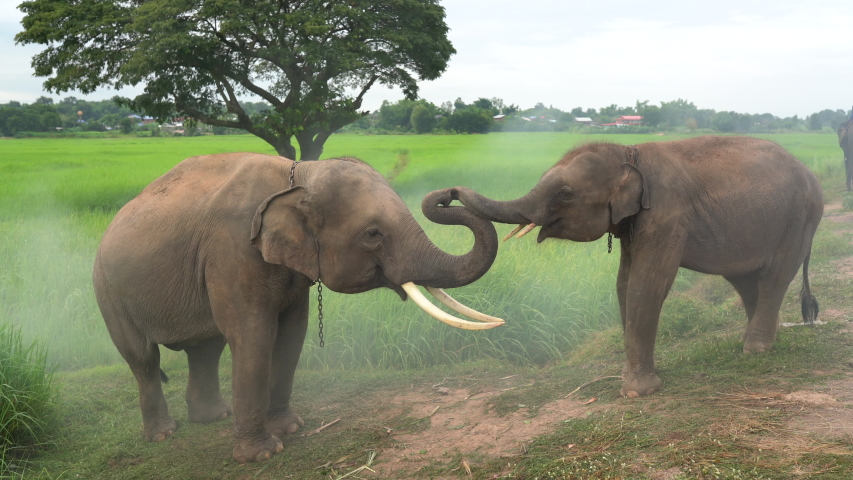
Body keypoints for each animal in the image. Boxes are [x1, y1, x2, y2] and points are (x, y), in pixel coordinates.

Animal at [93, 153, 504, 463]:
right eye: (373, 234)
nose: (449, 193)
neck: (298, 172)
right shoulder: (233, 250)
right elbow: (254, 335)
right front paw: (261, 455)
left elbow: (292, 333)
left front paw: (290, 428)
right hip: (109, 292)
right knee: (144, 359)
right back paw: (164, 435)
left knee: (206, 349)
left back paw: (213, 417)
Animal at [423, 136, 823, 398]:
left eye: (565, 193)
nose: (447, 194)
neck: (630, 152)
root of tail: (810, 171)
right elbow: (624, 282)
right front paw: (631, 383)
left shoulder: (666, 214)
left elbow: (648, 283)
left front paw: (637, 393)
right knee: (744, 279)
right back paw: (758, 341)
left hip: (801, 217)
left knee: (774, 277)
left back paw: (756, 349)